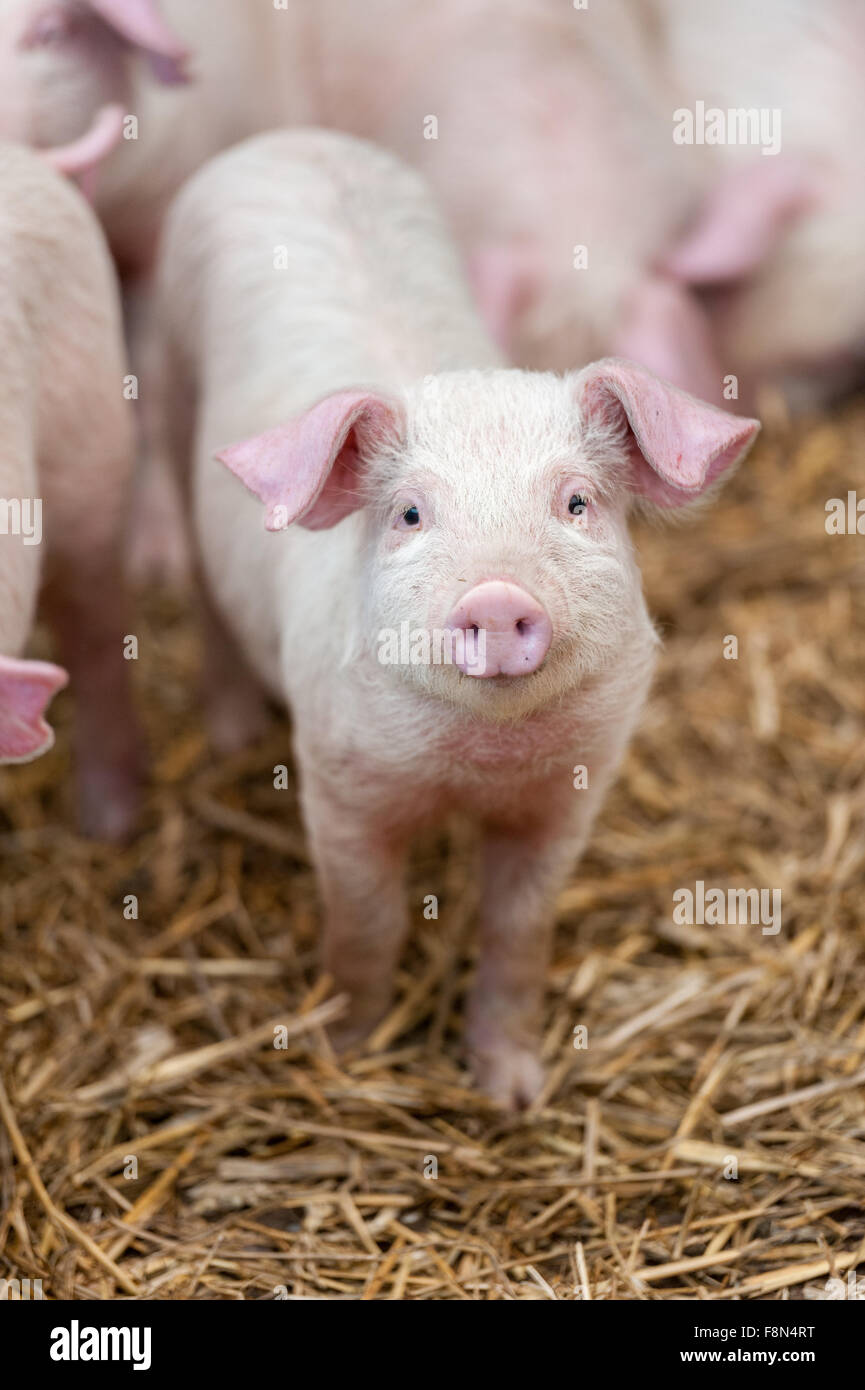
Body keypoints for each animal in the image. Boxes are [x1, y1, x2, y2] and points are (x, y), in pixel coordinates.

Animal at [156, 130, 758, 1106]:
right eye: (408, 514)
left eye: (576, 502)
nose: (498, 595)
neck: (477, 765)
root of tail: (293, 139)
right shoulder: (339, 784)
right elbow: (367, 925)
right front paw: (346, 1055)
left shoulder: (570, 793)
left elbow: (519, 932)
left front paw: (514, 1095)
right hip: (171, 391)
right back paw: (231, 733)